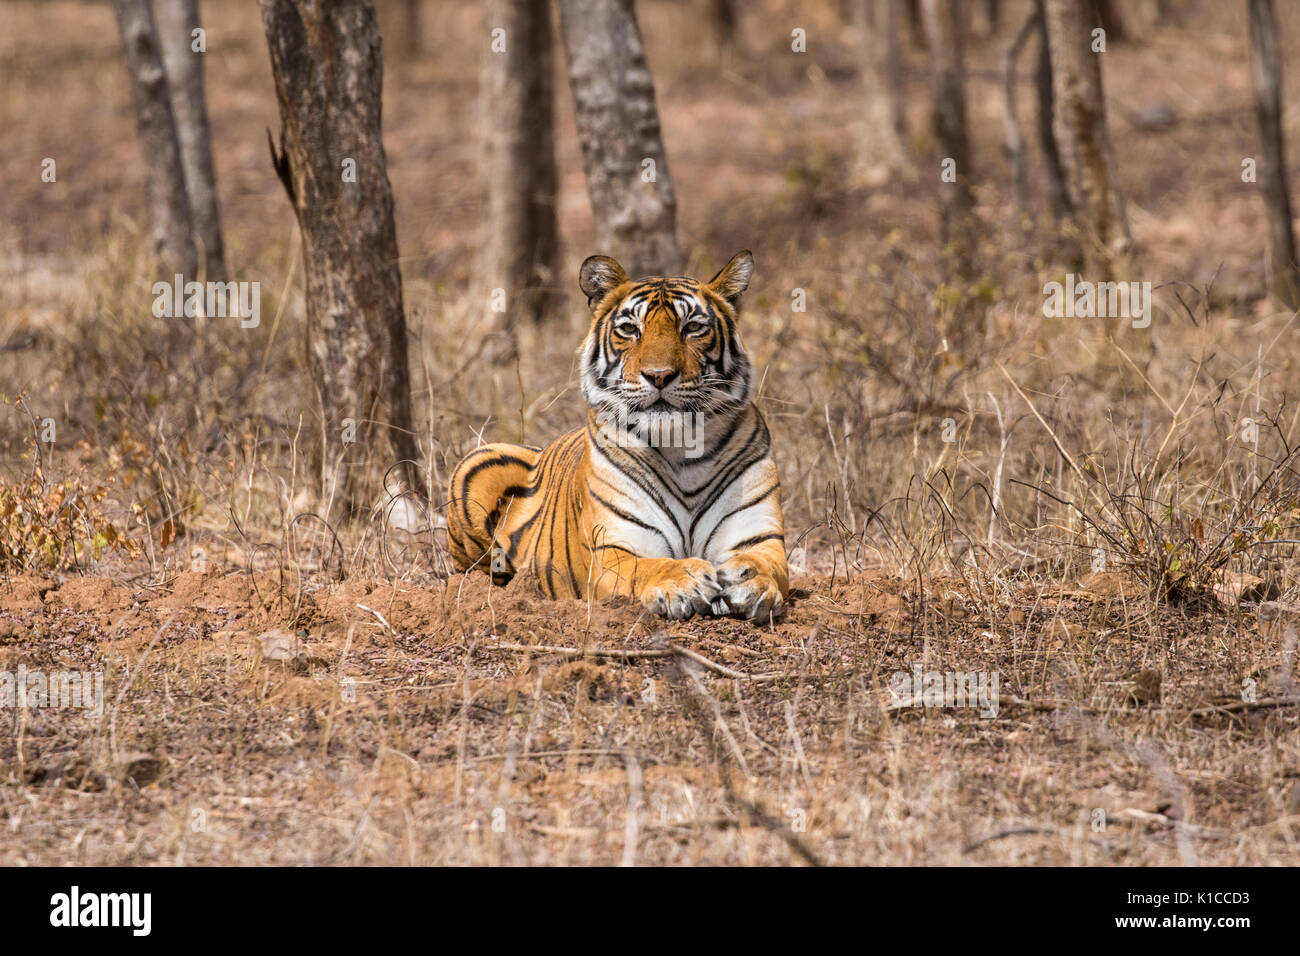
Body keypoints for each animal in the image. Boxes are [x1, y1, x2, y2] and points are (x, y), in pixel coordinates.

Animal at [446, 250, 787, 622]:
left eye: (693, 327)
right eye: (629, 329)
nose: (659, 375)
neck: (682, 448)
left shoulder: (761, 539)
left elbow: (767, 565)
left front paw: (748, 580)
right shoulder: (611, 550)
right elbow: (649, 566)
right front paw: (685, 579)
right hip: (476, 463)